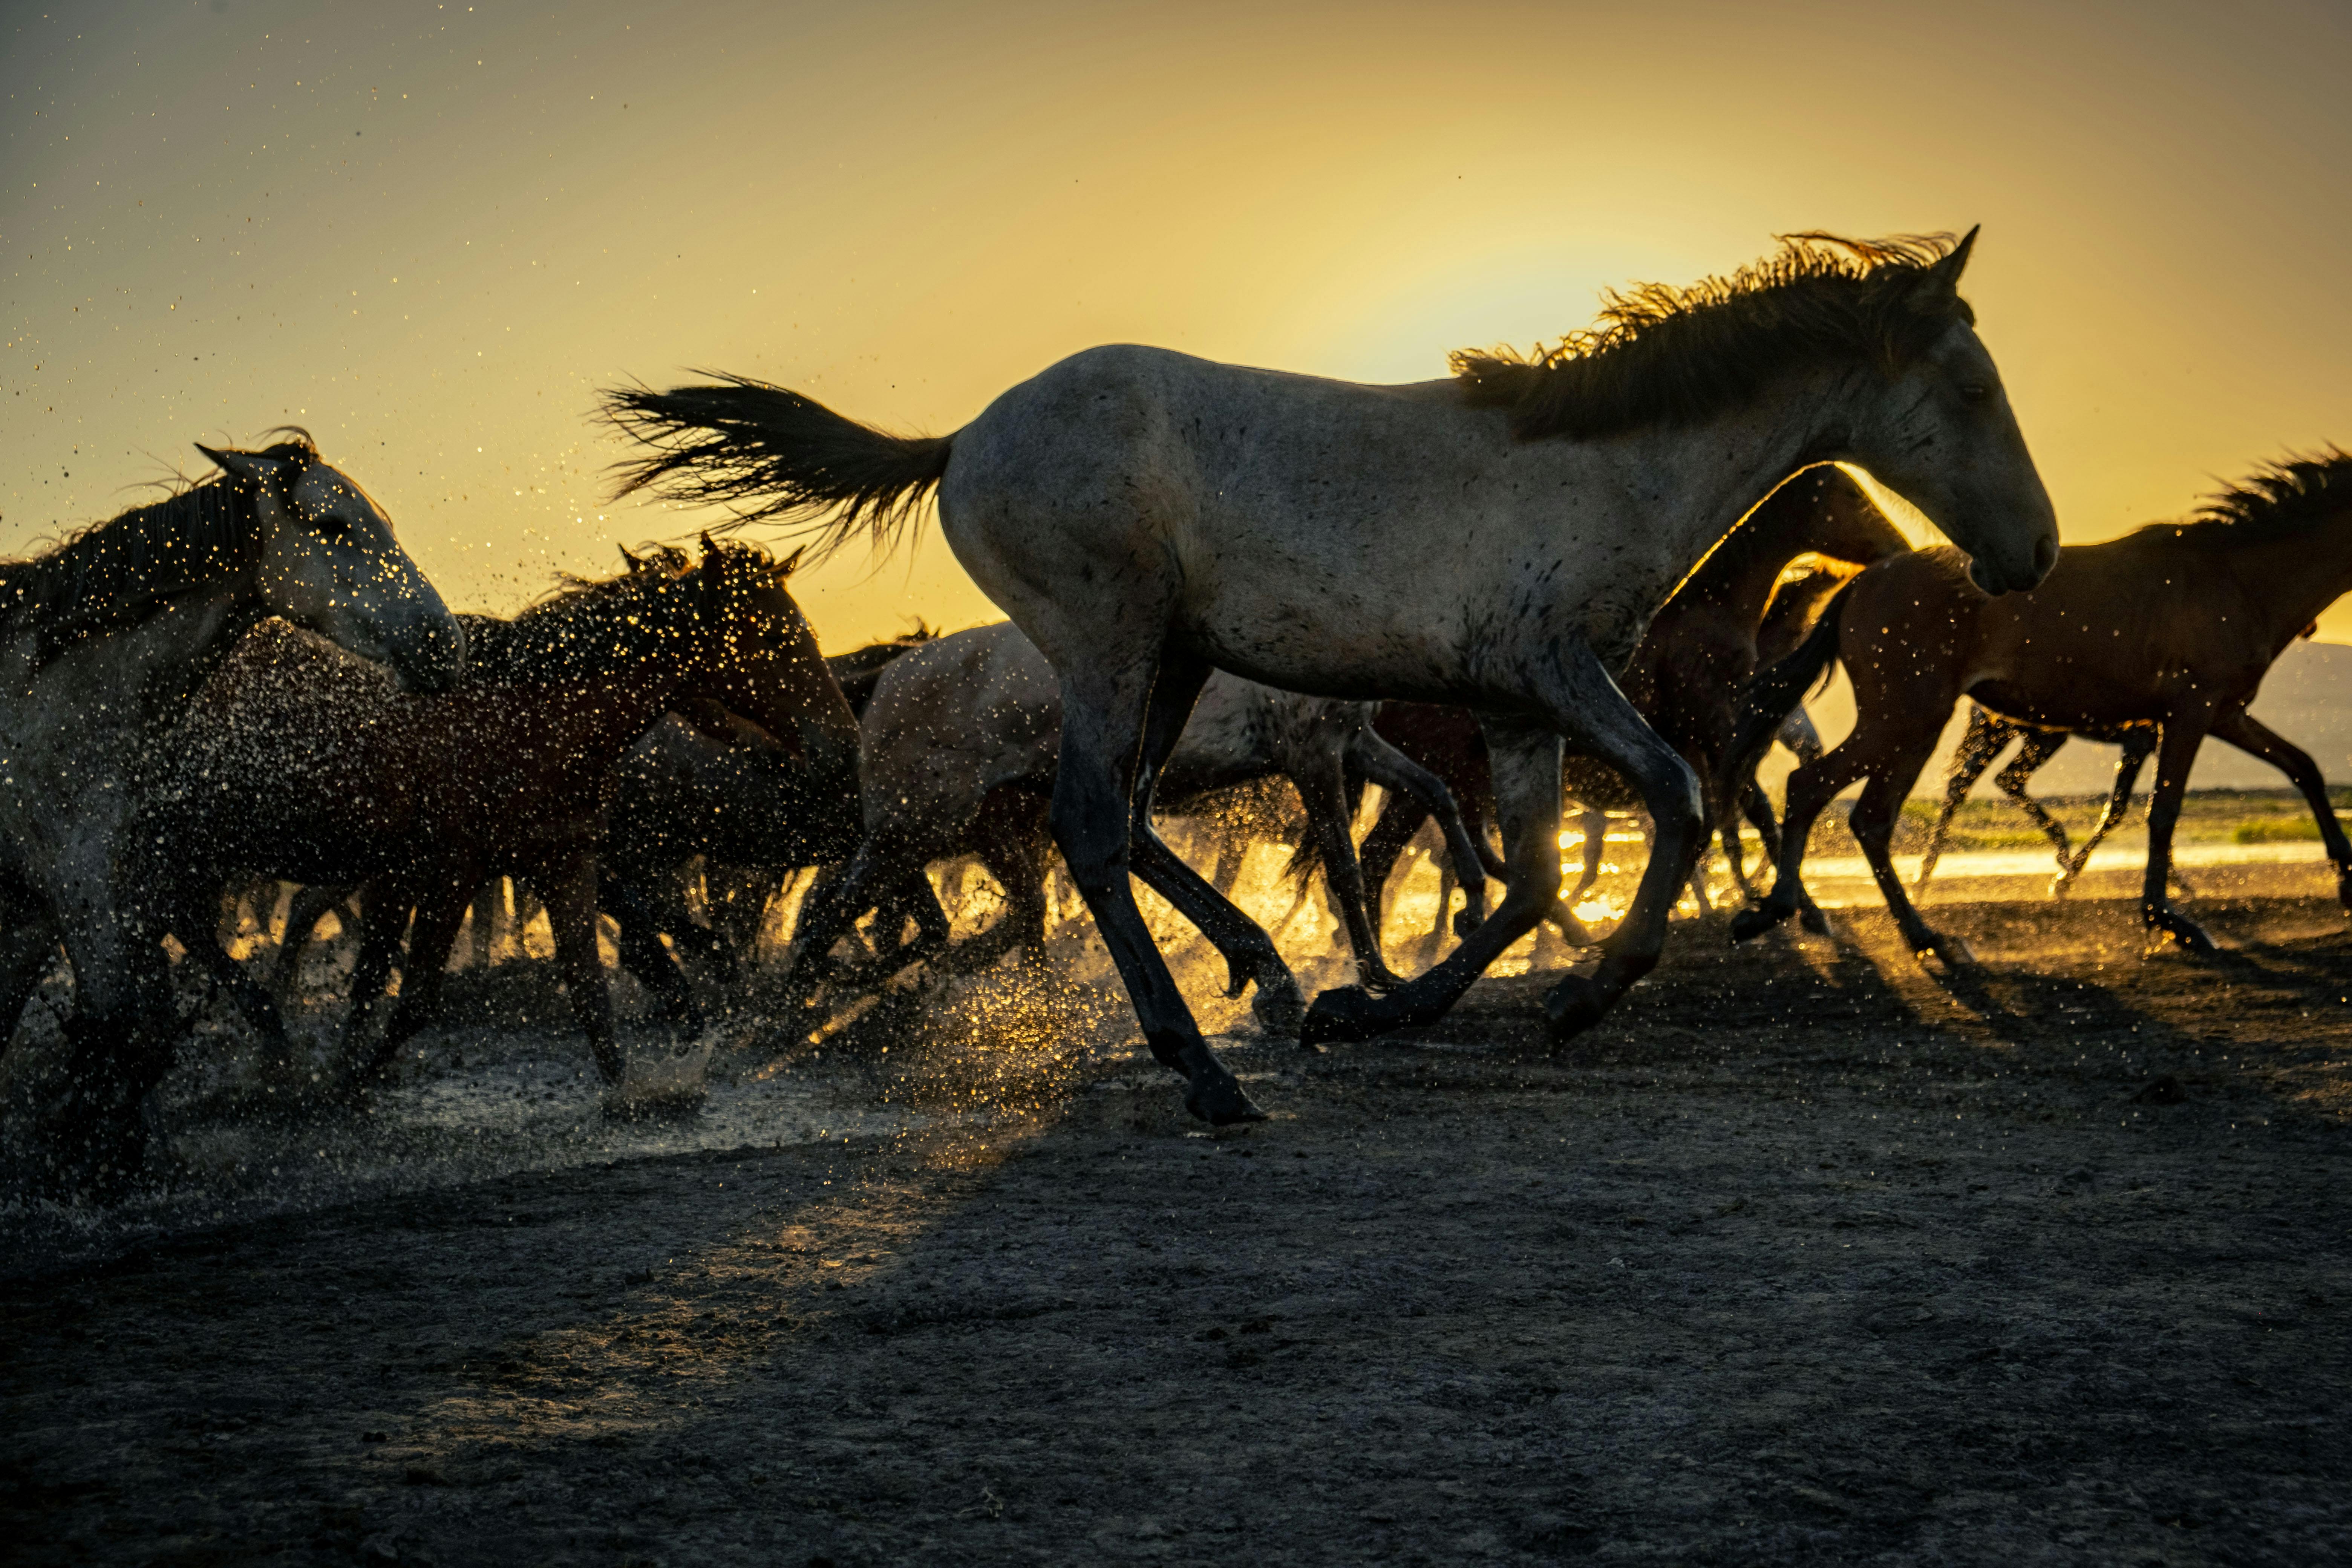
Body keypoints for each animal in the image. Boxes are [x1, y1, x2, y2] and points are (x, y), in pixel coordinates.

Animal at [0, 432, 462, 1187]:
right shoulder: (79, 889)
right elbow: (121, 1026)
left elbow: (127, 1032)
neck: (49, 699)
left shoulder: (53, 906)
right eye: (333, 525)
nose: (446, 644)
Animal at [138, 539, 856, 1084]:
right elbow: (412, 994)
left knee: (192, 923)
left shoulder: (560, 862)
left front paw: (631, 1092)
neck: (522, 721)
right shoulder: (451, 869)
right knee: (191, 924)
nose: (843, 744)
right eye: (771, 636)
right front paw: (351, 1080)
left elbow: (591, 991)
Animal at [775, 618, 1493, 1014]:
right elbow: (1343, 863)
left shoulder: (1354, 742)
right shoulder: (1311, 753)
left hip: (938, 833)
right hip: (915, 828)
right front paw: (1378, 974)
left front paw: (1472, 907)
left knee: (839, 913)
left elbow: (1437, 793)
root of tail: (886, 678)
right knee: (829, 915)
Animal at [1732, 452, 2352, 962]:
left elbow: (2303, 768)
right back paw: (1782, 911)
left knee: (1869, 818)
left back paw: (1922, 935)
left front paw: (2346, 880)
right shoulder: (2189, 713)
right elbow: (2163, 811)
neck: (2236, 580)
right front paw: (2168, 921)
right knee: (1813, 787)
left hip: (1917, 727)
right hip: (1905, 720)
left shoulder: (2224, 713)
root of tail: (1860, 585)